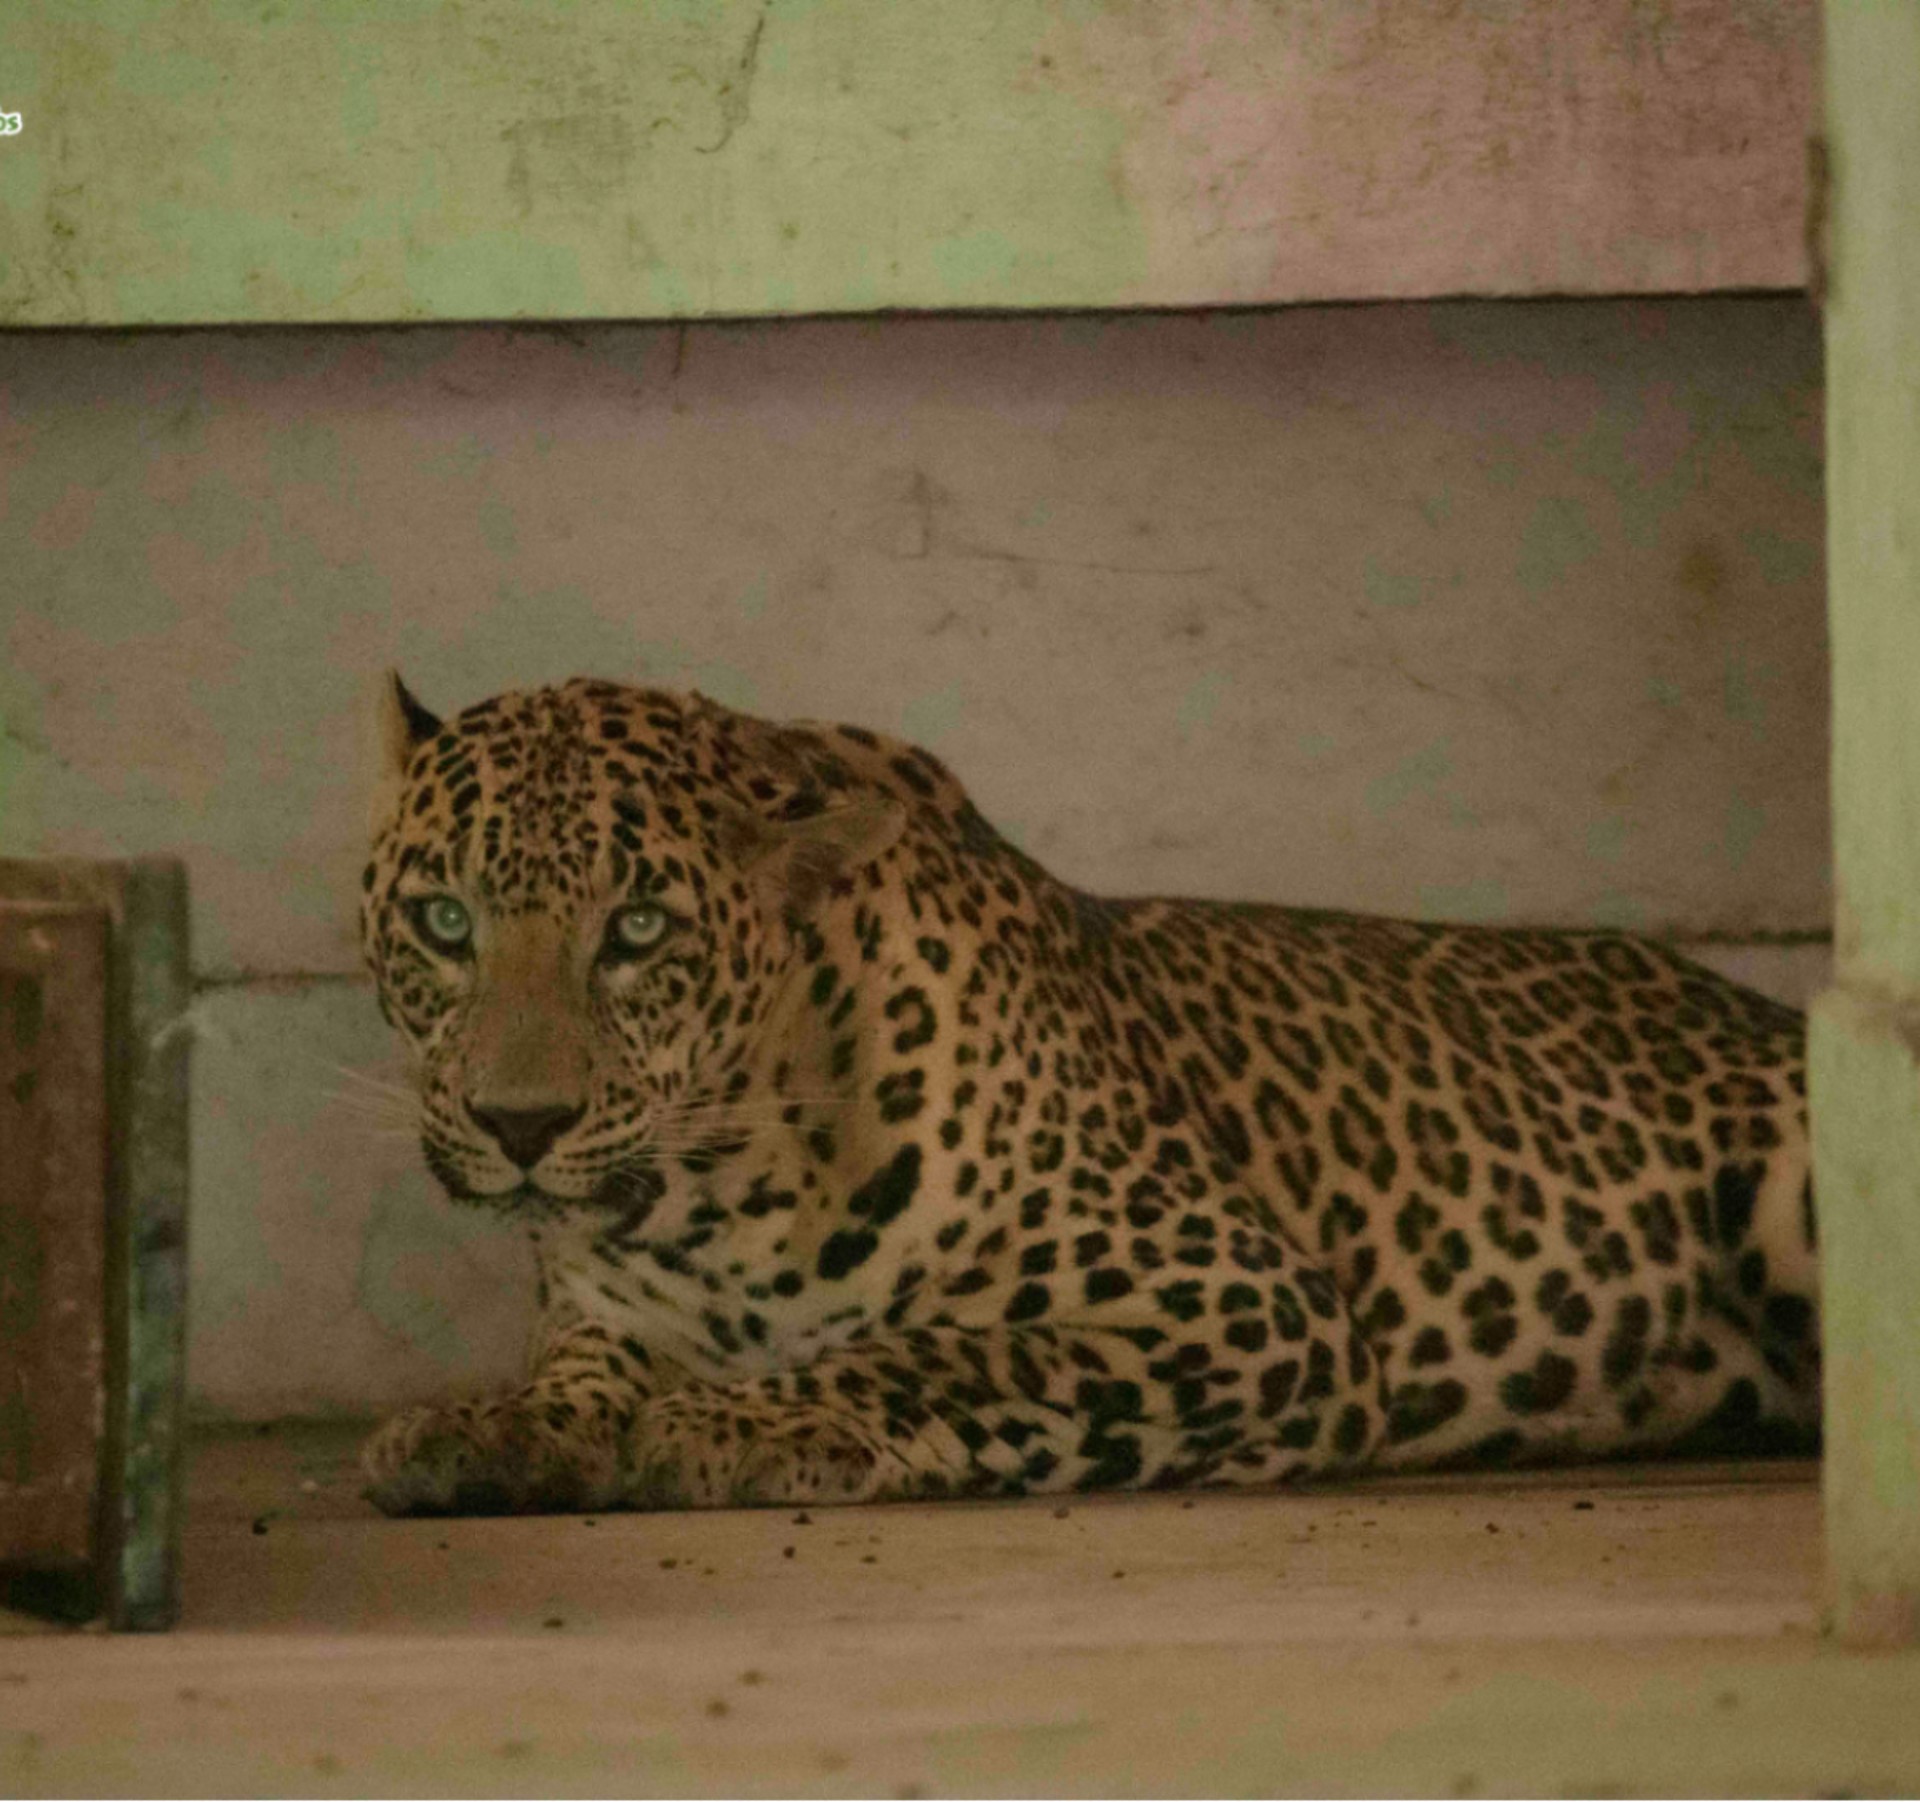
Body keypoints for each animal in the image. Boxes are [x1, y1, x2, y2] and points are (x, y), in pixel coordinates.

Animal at [358, 673, 1820, 1515]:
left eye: (641, 930)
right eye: (444, 920)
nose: (519, 1126)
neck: (711, 1193)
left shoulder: (1245, 1299)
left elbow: (947, 1348)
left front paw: (740, 1418)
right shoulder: (608, 1305)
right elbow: (578, 1372)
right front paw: (489, 1427)